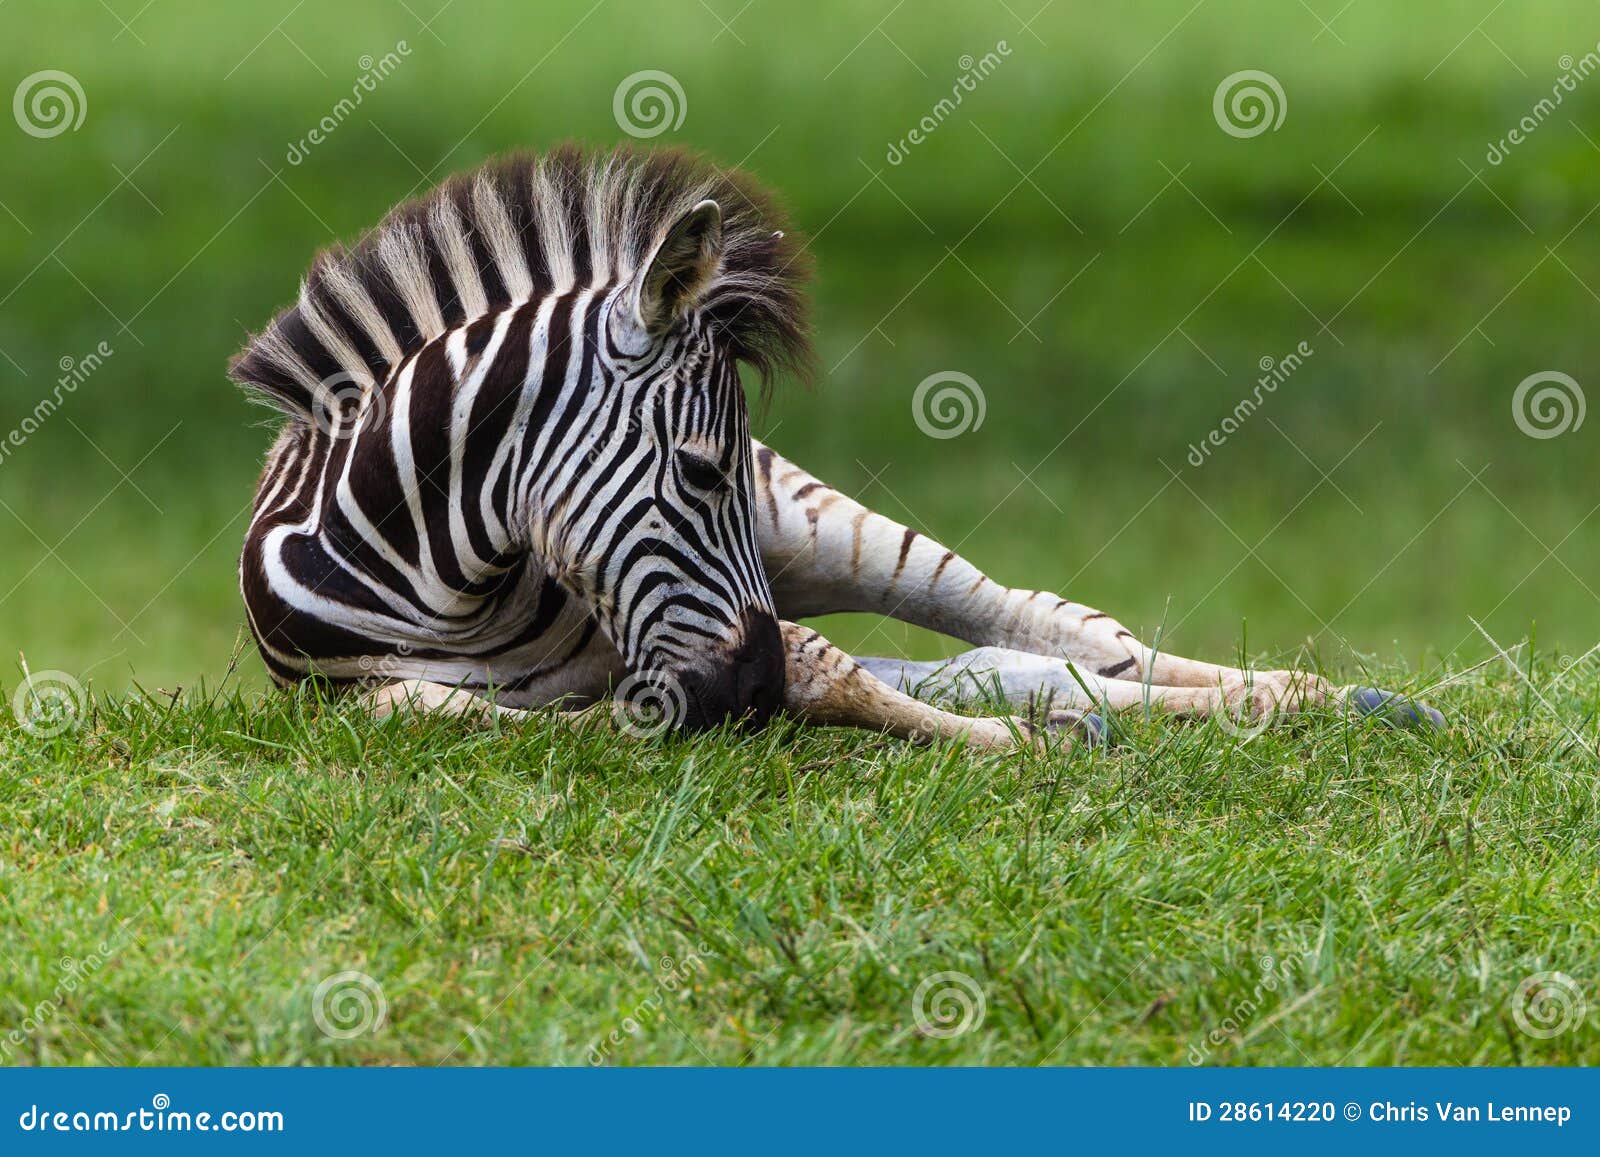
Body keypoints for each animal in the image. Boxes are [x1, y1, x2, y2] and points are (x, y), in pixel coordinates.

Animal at [232, 143, 1441, 750]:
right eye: (696, 469)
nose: (749, 685)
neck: (450, 583)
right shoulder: (367, 698)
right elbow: (486, 712)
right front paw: (1041, 735)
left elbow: (843, 673)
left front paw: (1031, 744)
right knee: (1016, 661)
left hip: (823, 532)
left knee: (1068, 632)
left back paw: (1315, 695)